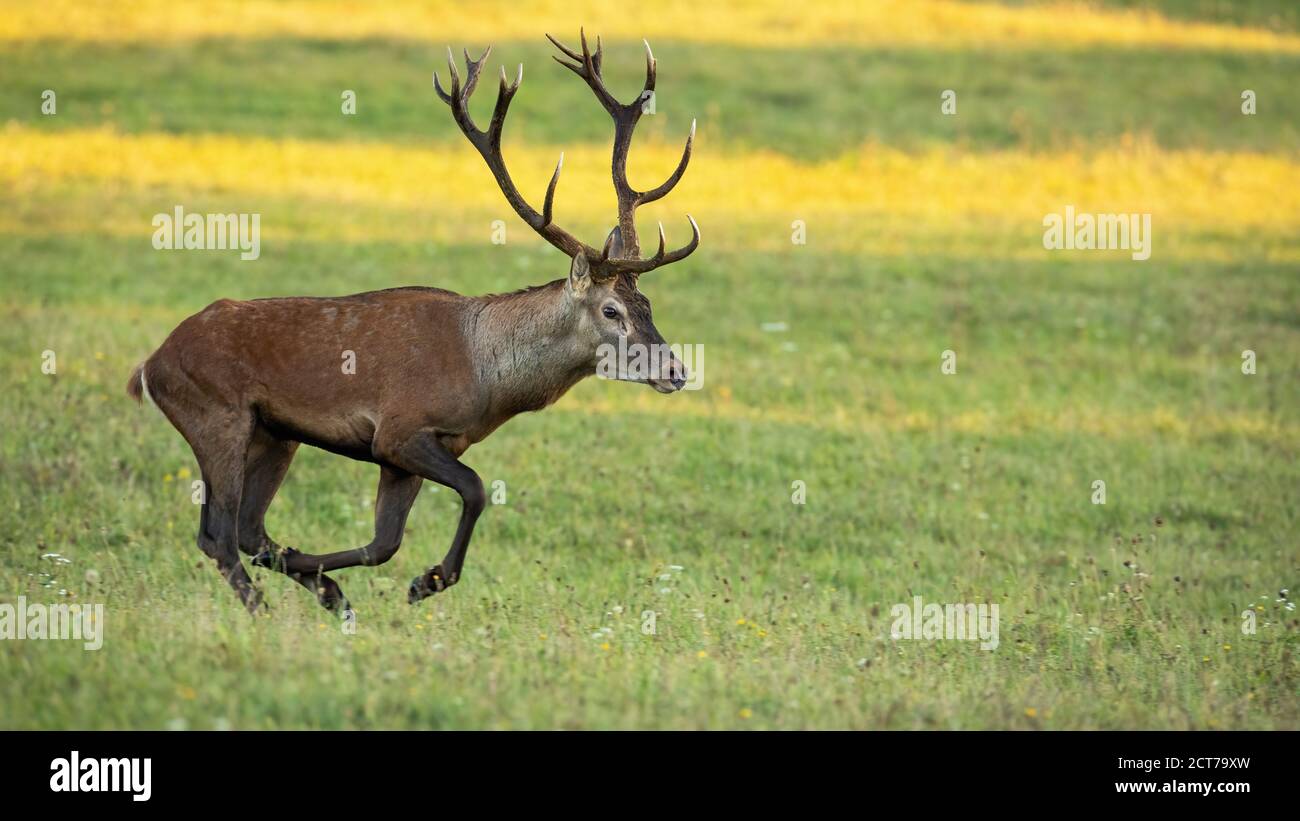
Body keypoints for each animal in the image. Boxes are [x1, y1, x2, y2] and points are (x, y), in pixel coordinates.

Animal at [126, 31, 699, 616]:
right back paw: (264, 608)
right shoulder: (400, 430)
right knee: (218, 534)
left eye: (648, 305)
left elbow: (384, 542)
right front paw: (426, 580)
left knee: (246, 529)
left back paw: (316, 591)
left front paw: (346, 581)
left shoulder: (405, 455)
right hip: (215, 415)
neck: (486, 379)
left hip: (274, 434)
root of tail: (150, 366)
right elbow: (473, 490)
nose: (676, 370)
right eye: (611, 310)